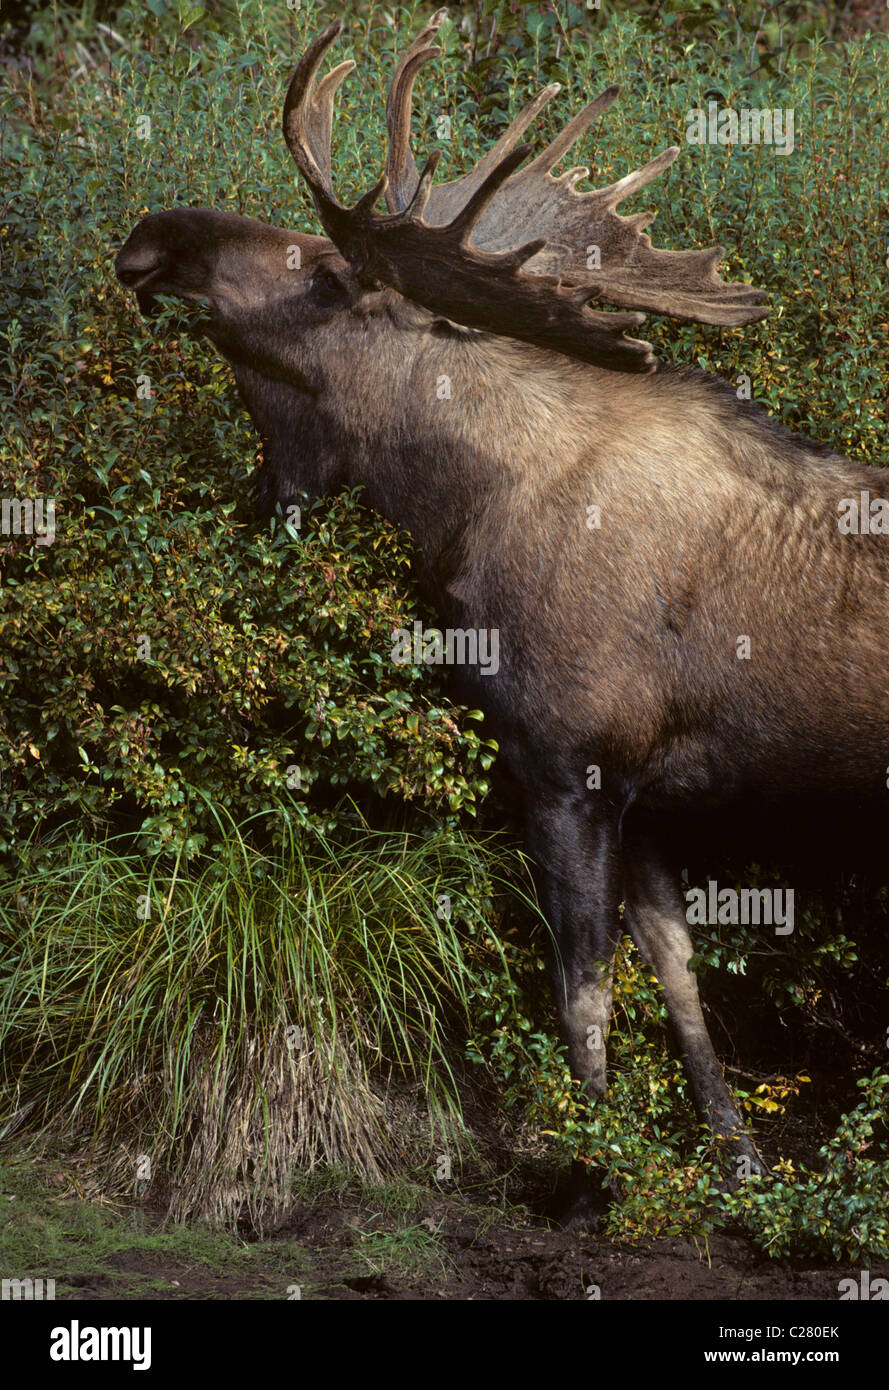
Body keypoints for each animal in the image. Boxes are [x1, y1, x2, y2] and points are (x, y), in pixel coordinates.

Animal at [115, 11, 889, 1221]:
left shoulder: (561, 758)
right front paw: (737, 1158)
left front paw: (592, 1173)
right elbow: (677, 973)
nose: (154, 234)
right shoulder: (642, 790)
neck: (451, 512)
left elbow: (583, 995)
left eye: (321, 269)